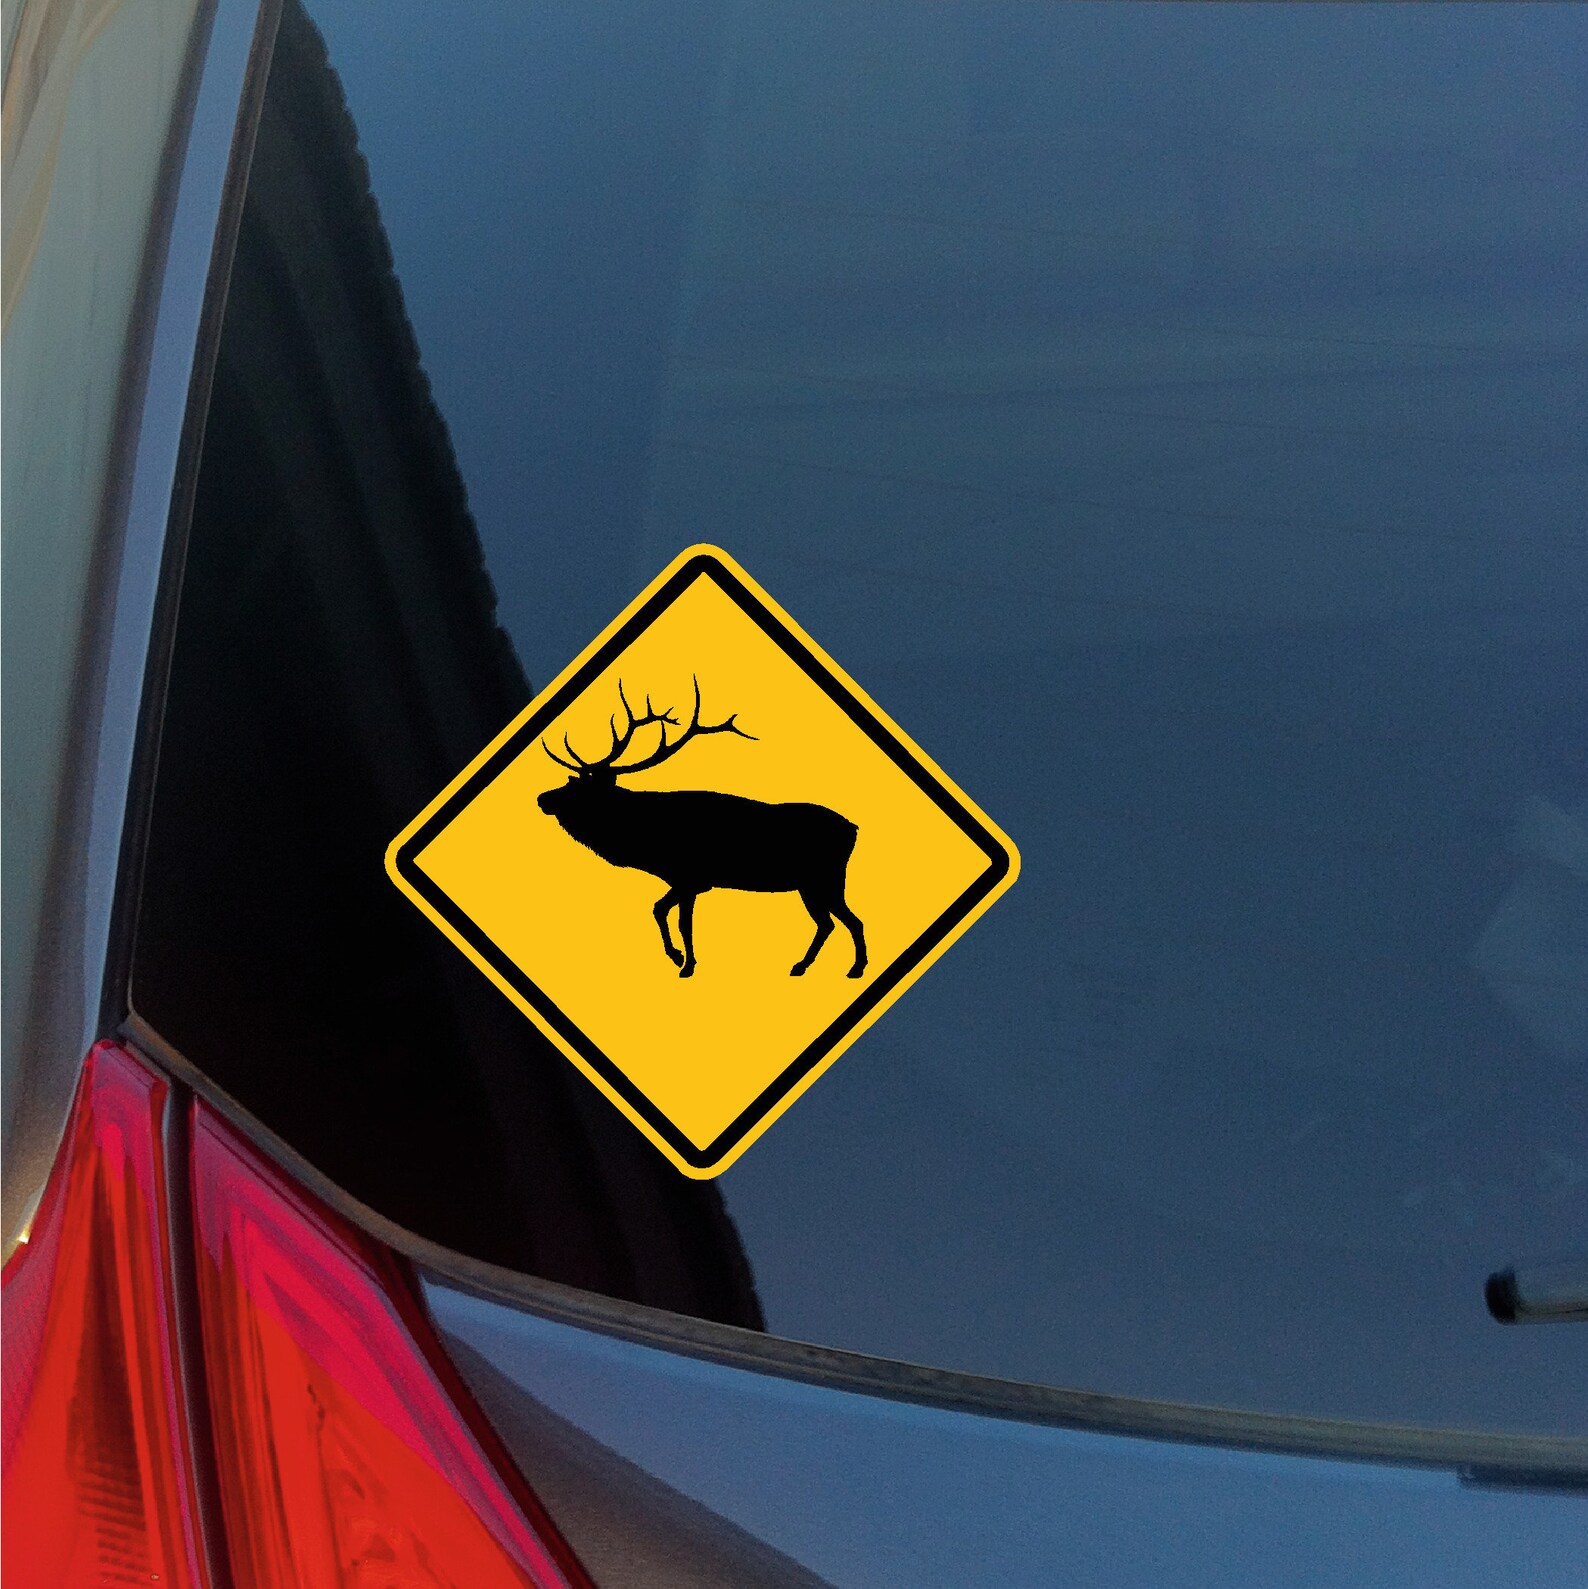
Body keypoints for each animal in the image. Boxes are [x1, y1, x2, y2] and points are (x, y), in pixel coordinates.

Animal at [537, 680, 867, 980]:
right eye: (569, 781)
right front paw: (680, 958)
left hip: (823, 878)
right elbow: (662, 910)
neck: (642, 838)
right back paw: (804, 967)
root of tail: (853, 828)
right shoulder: (687, 880)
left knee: (845, 921)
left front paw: (684, 963)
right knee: (831, 923)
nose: (542, 798)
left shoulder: (691, 877)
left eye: (577, 789)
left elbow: (677, 919)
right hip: (812, 884)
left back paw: (853, 968)